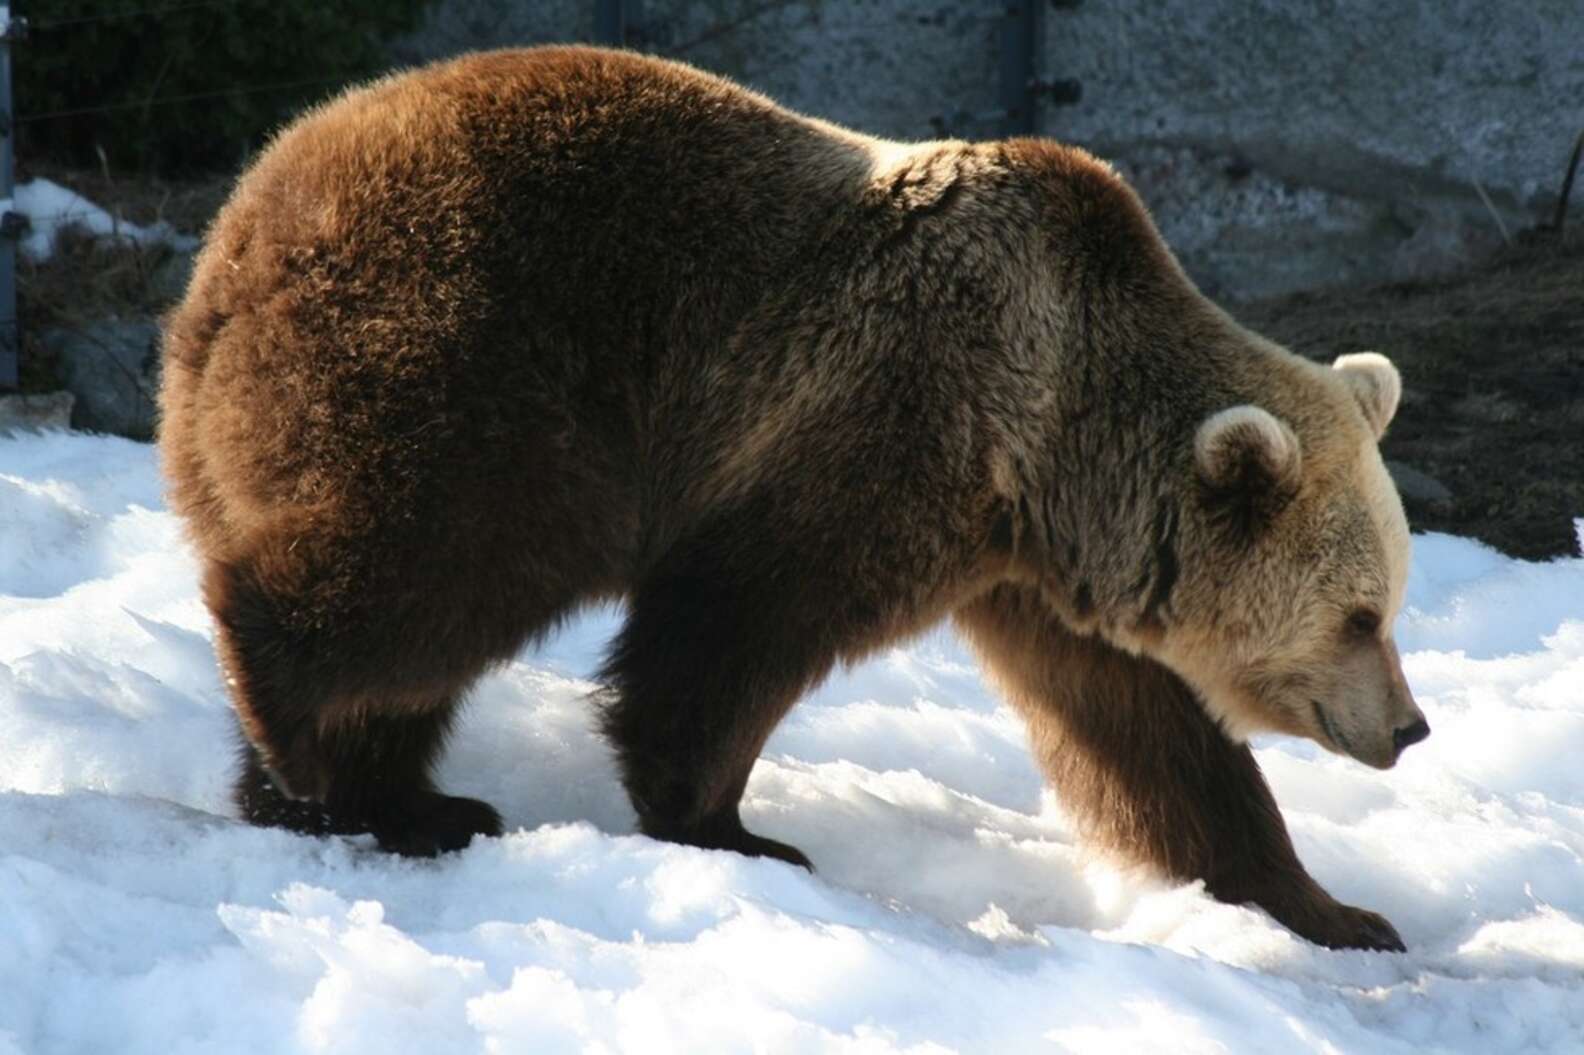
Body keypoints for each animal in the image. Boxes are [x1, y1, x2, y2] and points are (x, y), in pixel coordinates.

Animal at [158, 46, 1428, 951]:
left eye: (1393, 605)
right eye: (1362, 613)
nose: (1411, 725)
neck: (1056, 434)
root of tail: (236, 231)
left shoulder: (1044, 566)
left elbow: (1156, 739)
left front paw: (1337, 911)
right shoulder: (890, 416)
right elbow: (734, 625)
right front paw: (731, 827)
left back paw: (390, 801)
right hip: (474, 353)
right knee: (443, 560)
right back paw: (307, 747)